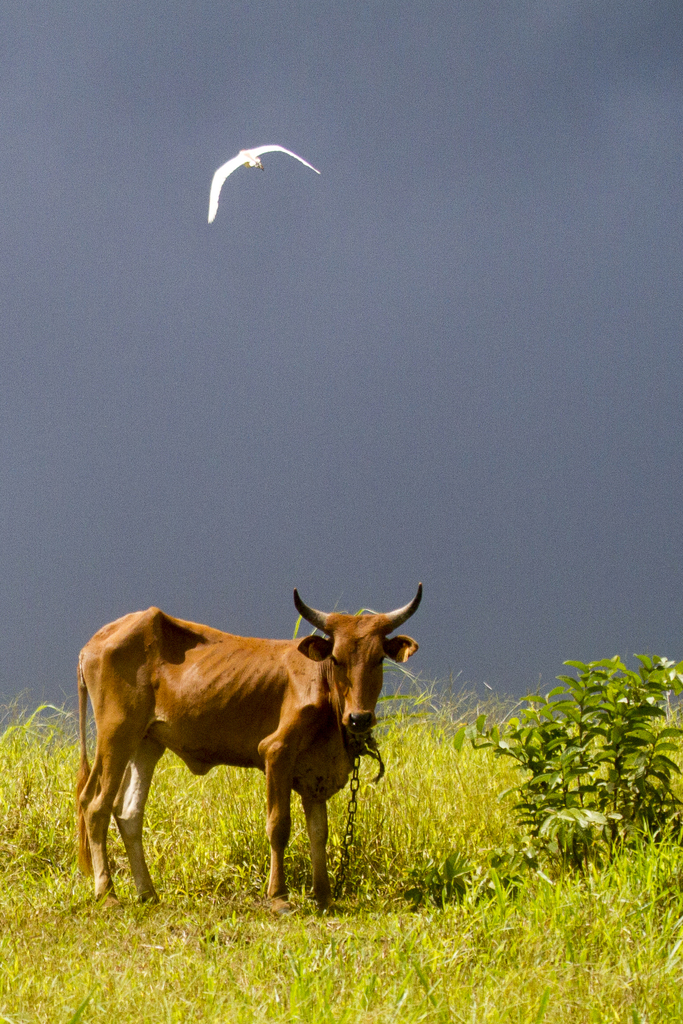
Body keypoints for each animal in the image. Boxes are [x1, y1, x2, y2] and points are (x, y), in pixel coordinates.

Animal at [76, 585, 421, 912]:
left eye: (379, 659)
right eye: (337, 659)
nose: (359, 718)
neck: (324, 690)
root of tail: (94, 642)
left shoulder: (315, 775)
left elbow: (318, 833)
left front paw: (323, 897)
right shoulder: (276, 752)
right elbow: (279, 825)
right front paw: (279, 897)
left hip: (146, 743)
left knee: (129, 812)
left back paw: (148, 893)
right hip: (117, 734)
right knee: (95, 805)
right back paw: (107, 894)